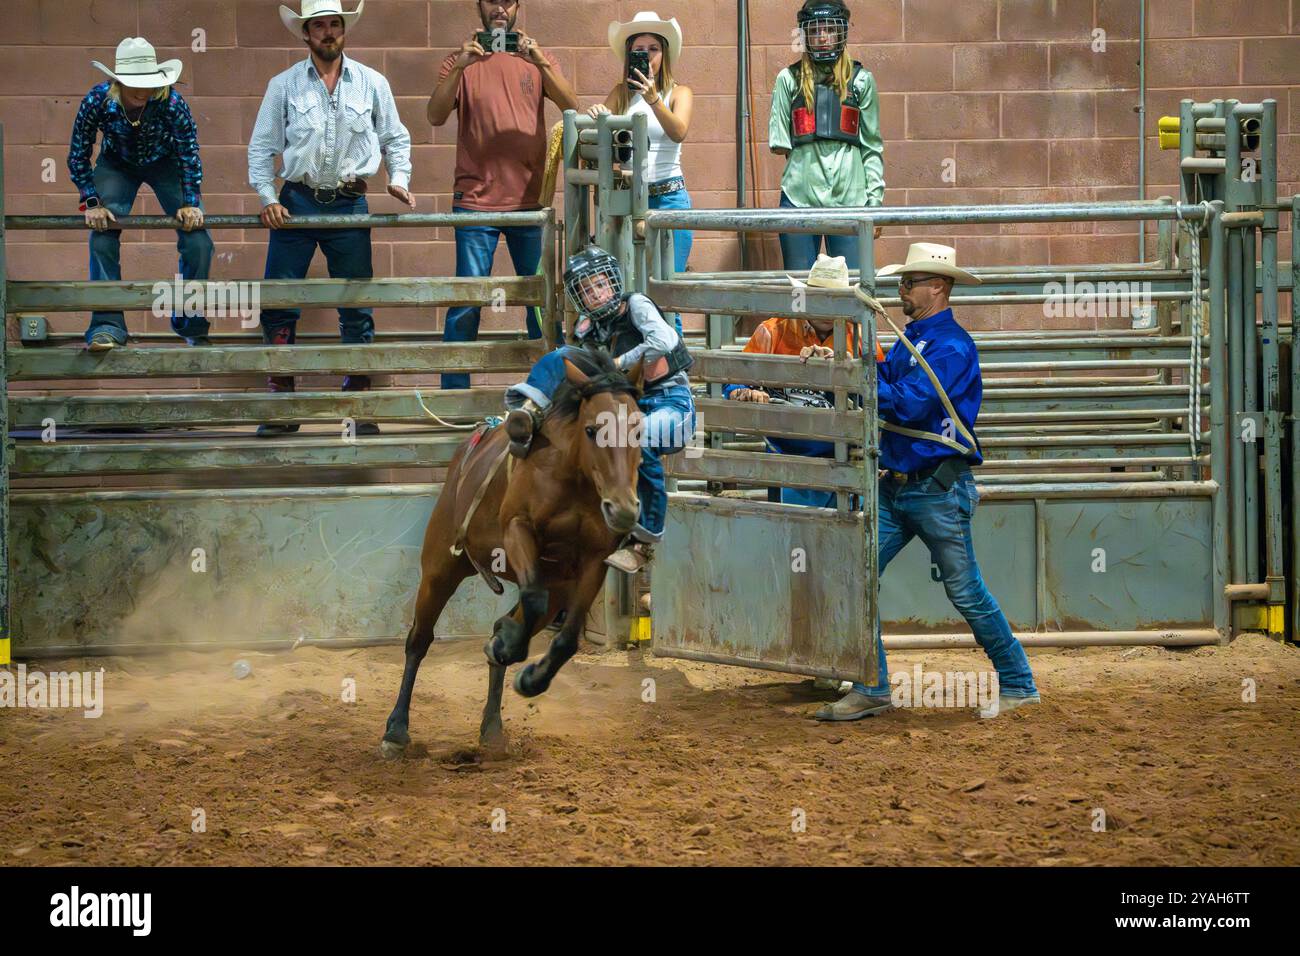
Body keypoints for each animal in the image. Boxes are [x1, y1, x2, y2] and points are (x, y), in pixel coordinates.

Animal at [381, 349, 645, 758]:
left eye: (639, 430)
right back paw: (395, 729)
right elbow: (531, 599)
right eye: (591, 430)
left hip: (558, 588)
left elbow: (567, 639)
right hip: (441, 566)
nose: (623, 509)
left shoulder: (593, 561)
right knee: (418, 641)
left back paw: (492, 723)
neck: (572, 475)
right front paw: (507, 643)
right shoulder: (517, 530)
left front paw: (529, 676)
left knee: (517, 622)